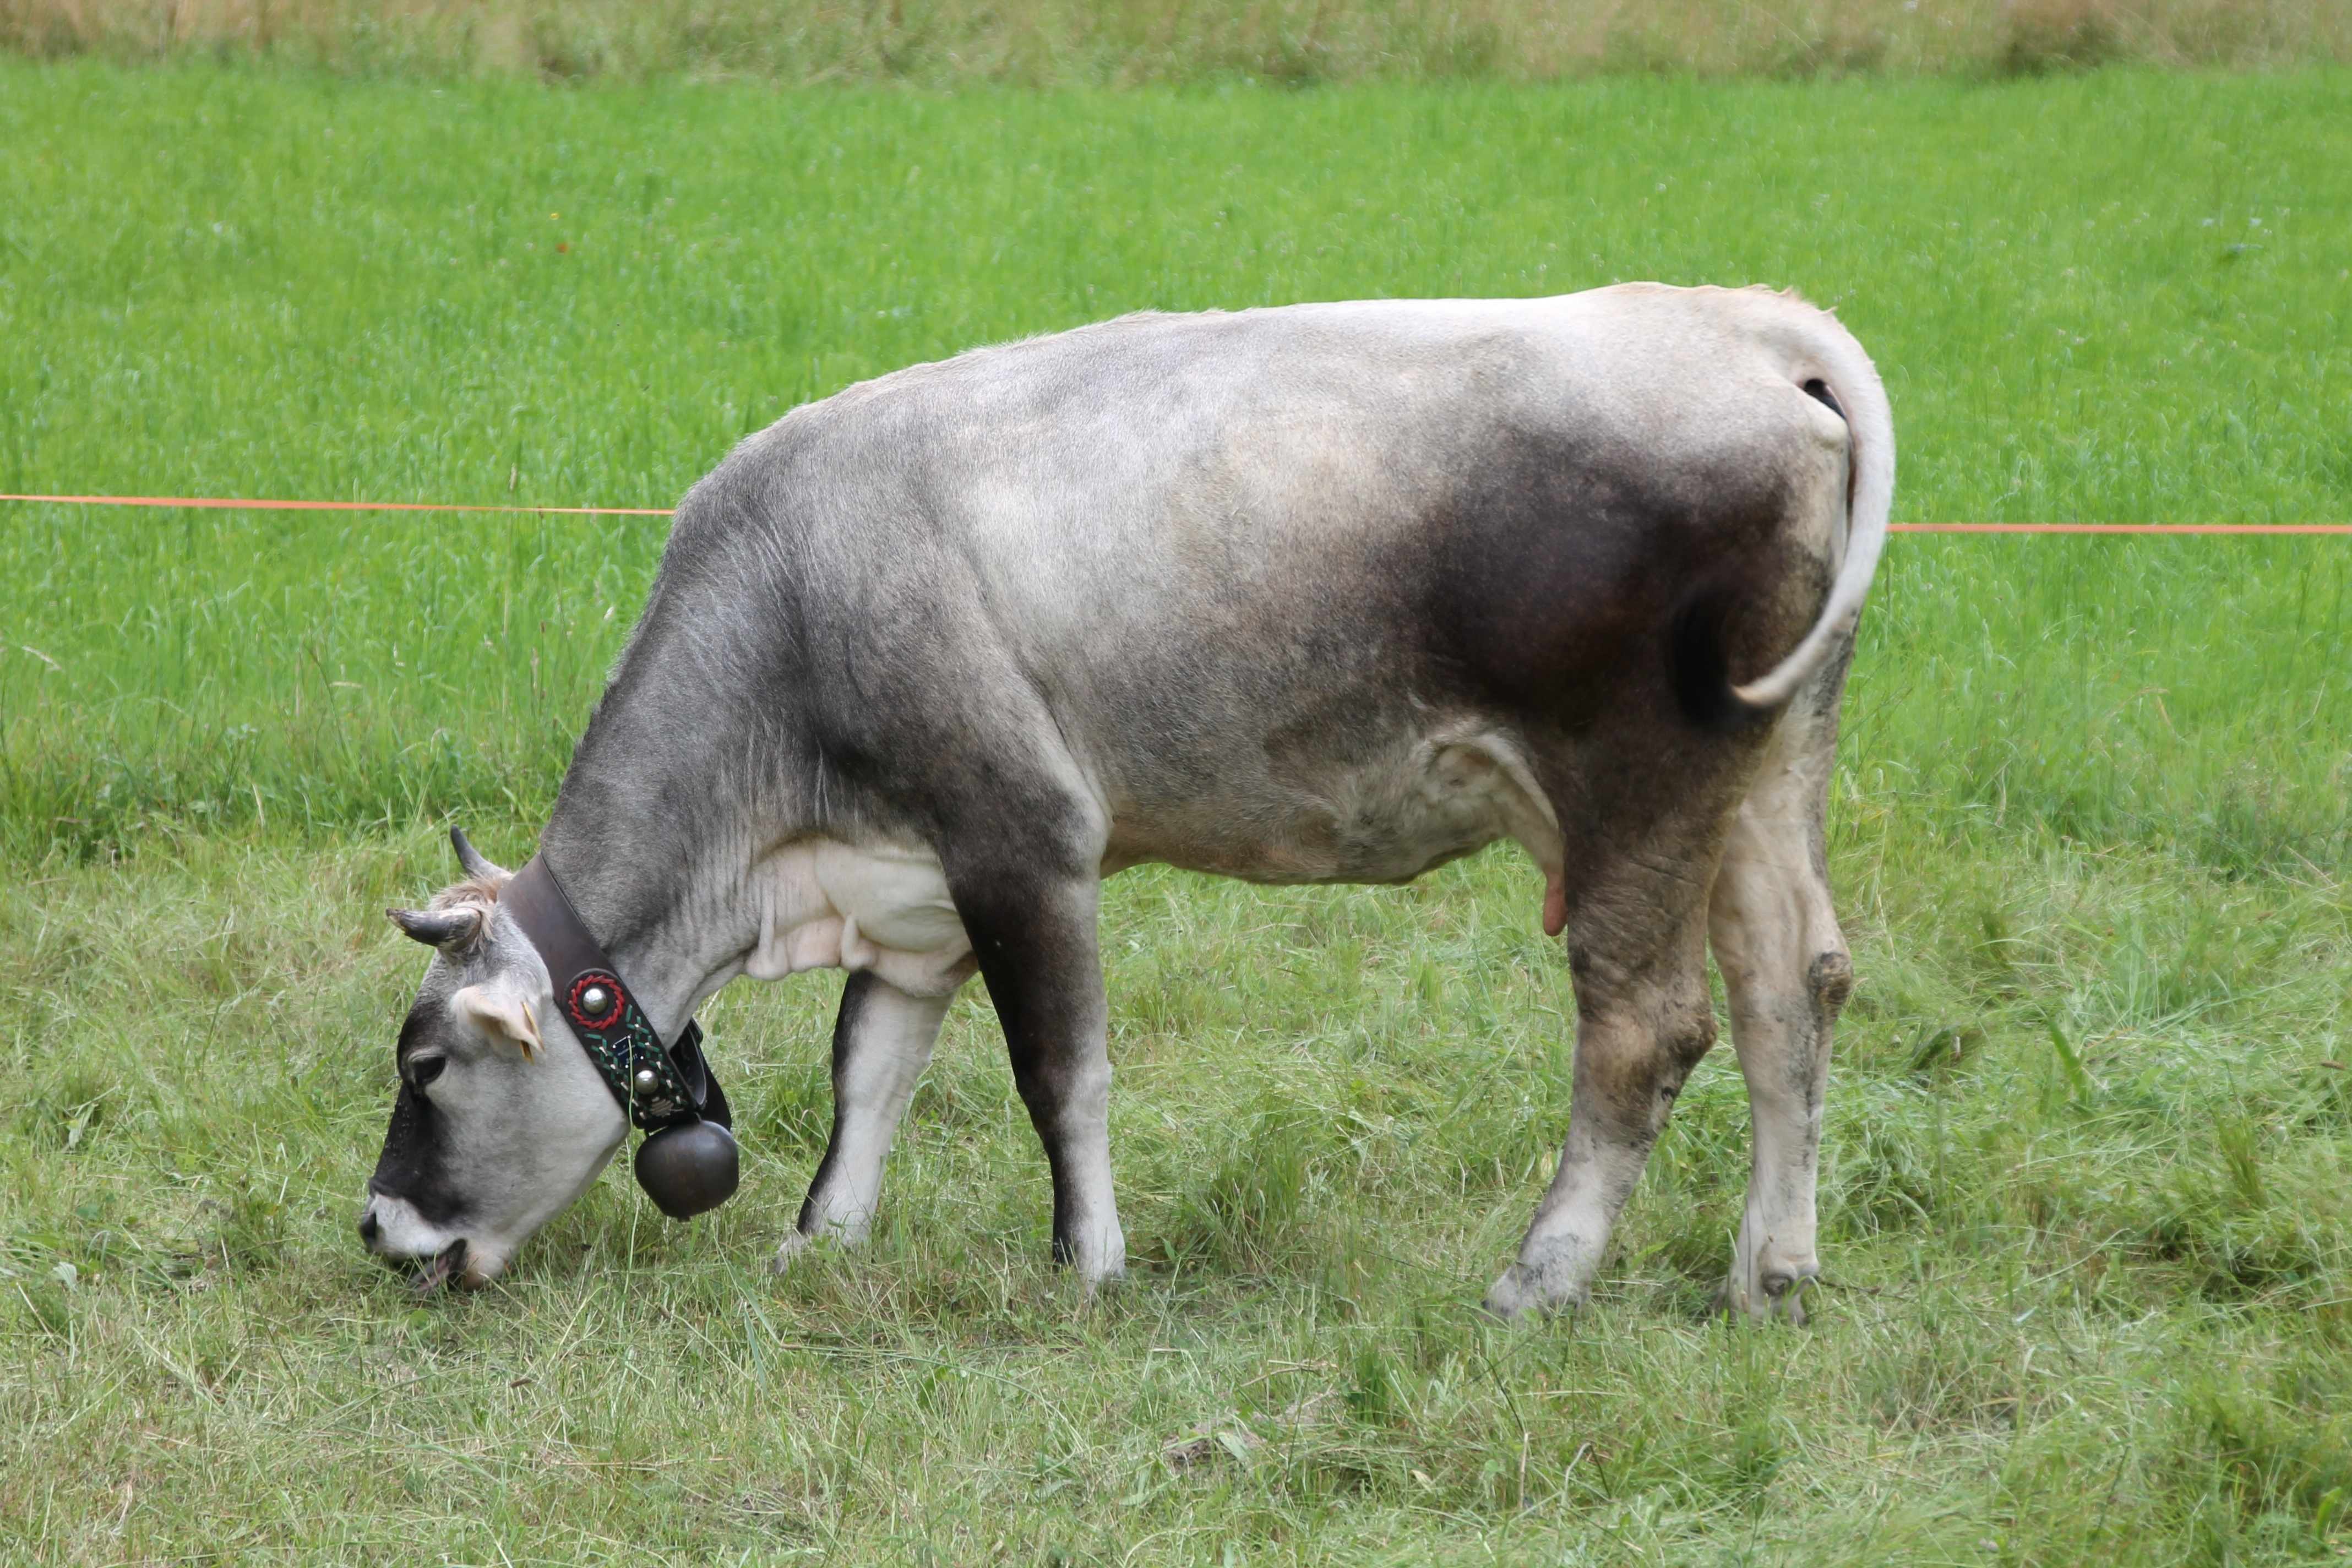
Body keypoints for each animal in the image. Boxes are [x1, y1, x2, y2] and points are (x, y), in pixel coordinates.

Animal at [358, 283, 1892, 1322]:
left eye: (425, 1064)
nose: (377, 1227)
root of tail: (1747, 323)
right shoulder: (911, 888)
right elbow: (869, 1070)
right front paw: (820, 1242)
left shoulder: (1023, 837)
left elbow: (1060, 1067)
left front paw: (1084, 1262)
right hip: (1767, 771)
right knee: (1792, 983)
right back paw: (1773, 1267)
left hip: (1637, 781)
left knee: (1646, 1030)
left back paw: (1539, 1275)